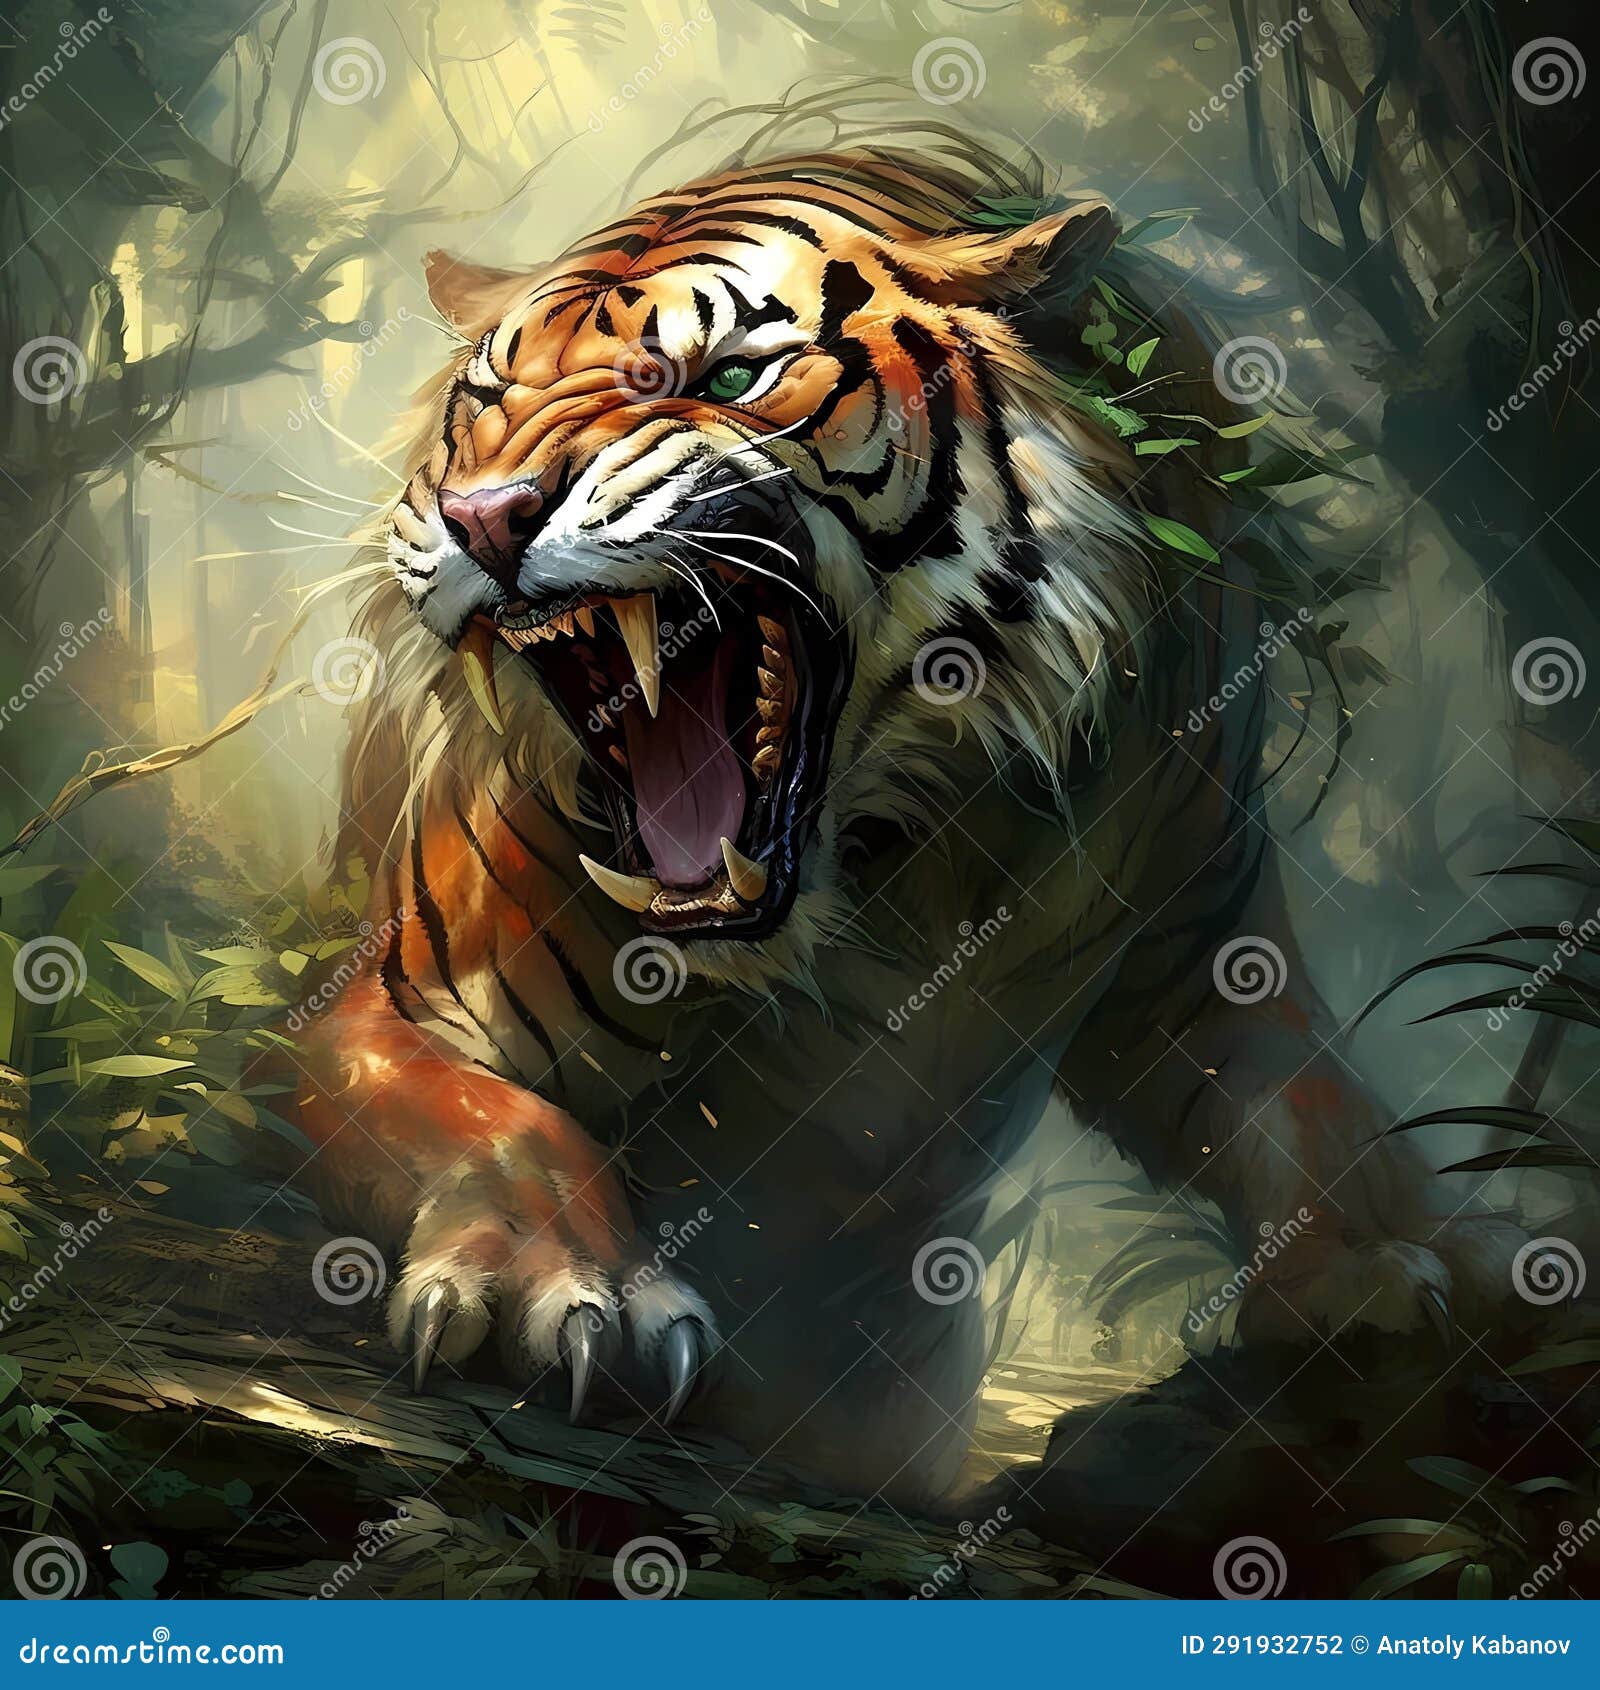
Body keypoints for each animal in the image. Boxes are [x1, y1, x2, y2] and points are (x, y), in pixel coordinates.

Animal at [289, 132, 1520, 1502]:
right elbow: (501, 1123)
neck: (903, 862)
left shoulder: (1202, 959)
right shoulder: (389, 1005)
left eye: (731, 374)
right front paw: (558, 1285)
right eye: (481, 405)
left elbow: (1313, 1110)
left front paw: (1405, 1262)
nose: (484, 515)